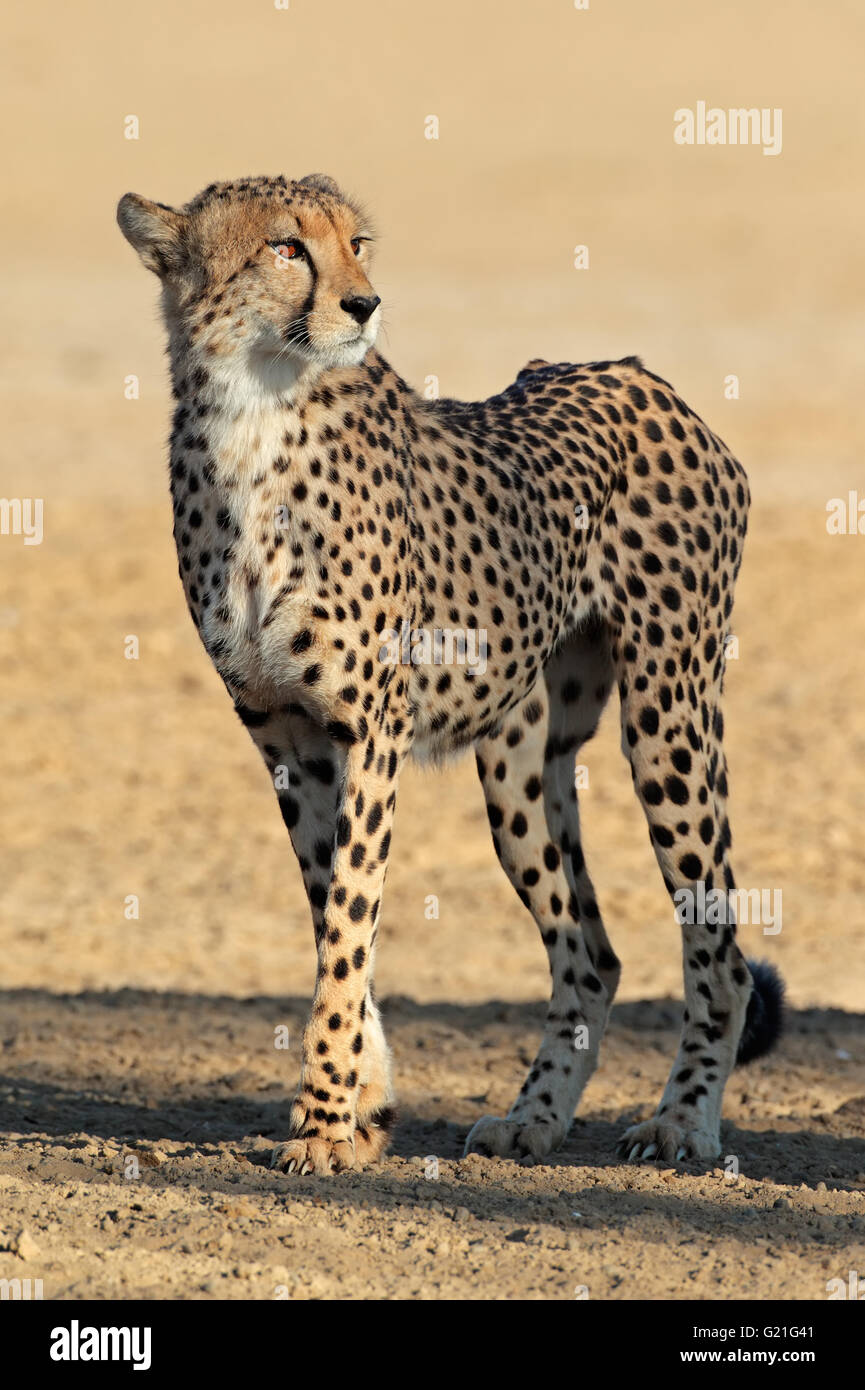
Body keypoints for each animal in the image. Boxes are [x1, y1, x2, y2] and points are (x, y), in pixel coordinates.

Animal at [117, 173, 783, 1176]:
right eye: (285, 247)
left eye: (355, 244)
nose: (363, 304)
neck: (255, 412)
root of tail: (635, 373)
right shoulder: (285, 735)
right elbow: (330, 915)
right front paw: (365, 1107)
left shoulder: (368, 732)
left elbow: (348, 925)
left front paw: (325, 1121)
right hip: (518, 768)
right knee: (589, 953)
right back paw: (535, 1116)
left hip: (669, 717)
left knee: (721, 950)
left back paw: (680, 1122)